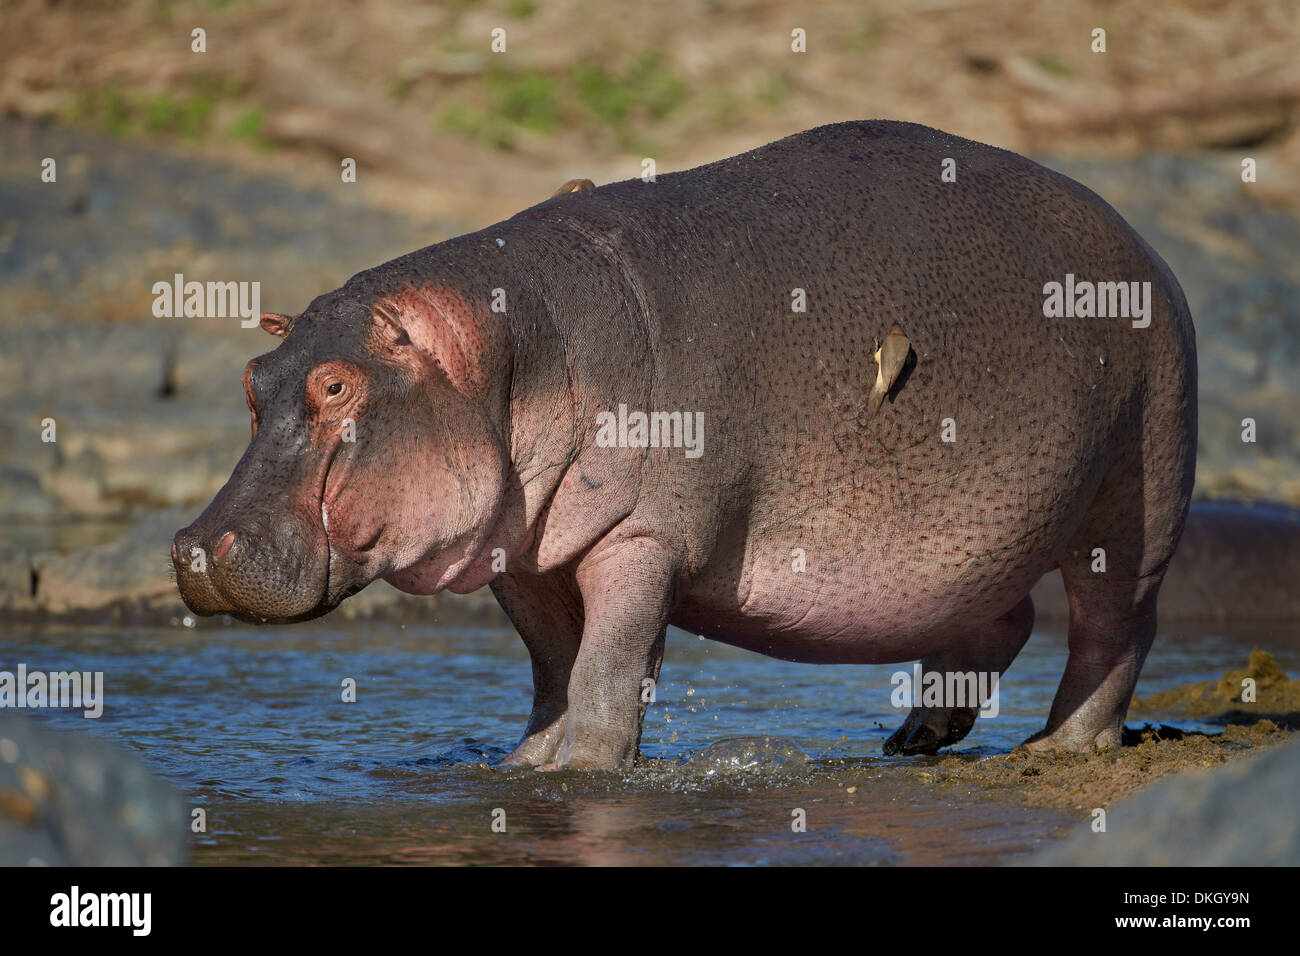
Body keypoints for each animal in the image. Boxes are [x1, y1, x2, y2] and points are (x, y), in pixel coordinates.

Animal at [173, 120, 1197, 769]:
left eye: (335, 386)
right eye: (252, 379)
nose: (196, 545)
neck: (517, 353)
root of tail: (1142, 242)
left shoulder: (641, 540)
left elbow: (605, 672)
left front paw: (587, 772)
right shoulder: (525, 553)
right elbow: (552, 671)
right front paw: (519, 769)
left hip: (1134, 495)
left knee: (1117, 629)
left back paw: (1060, 746)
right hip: (977, 544)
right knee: (1002, 619)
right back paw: (914, 741)